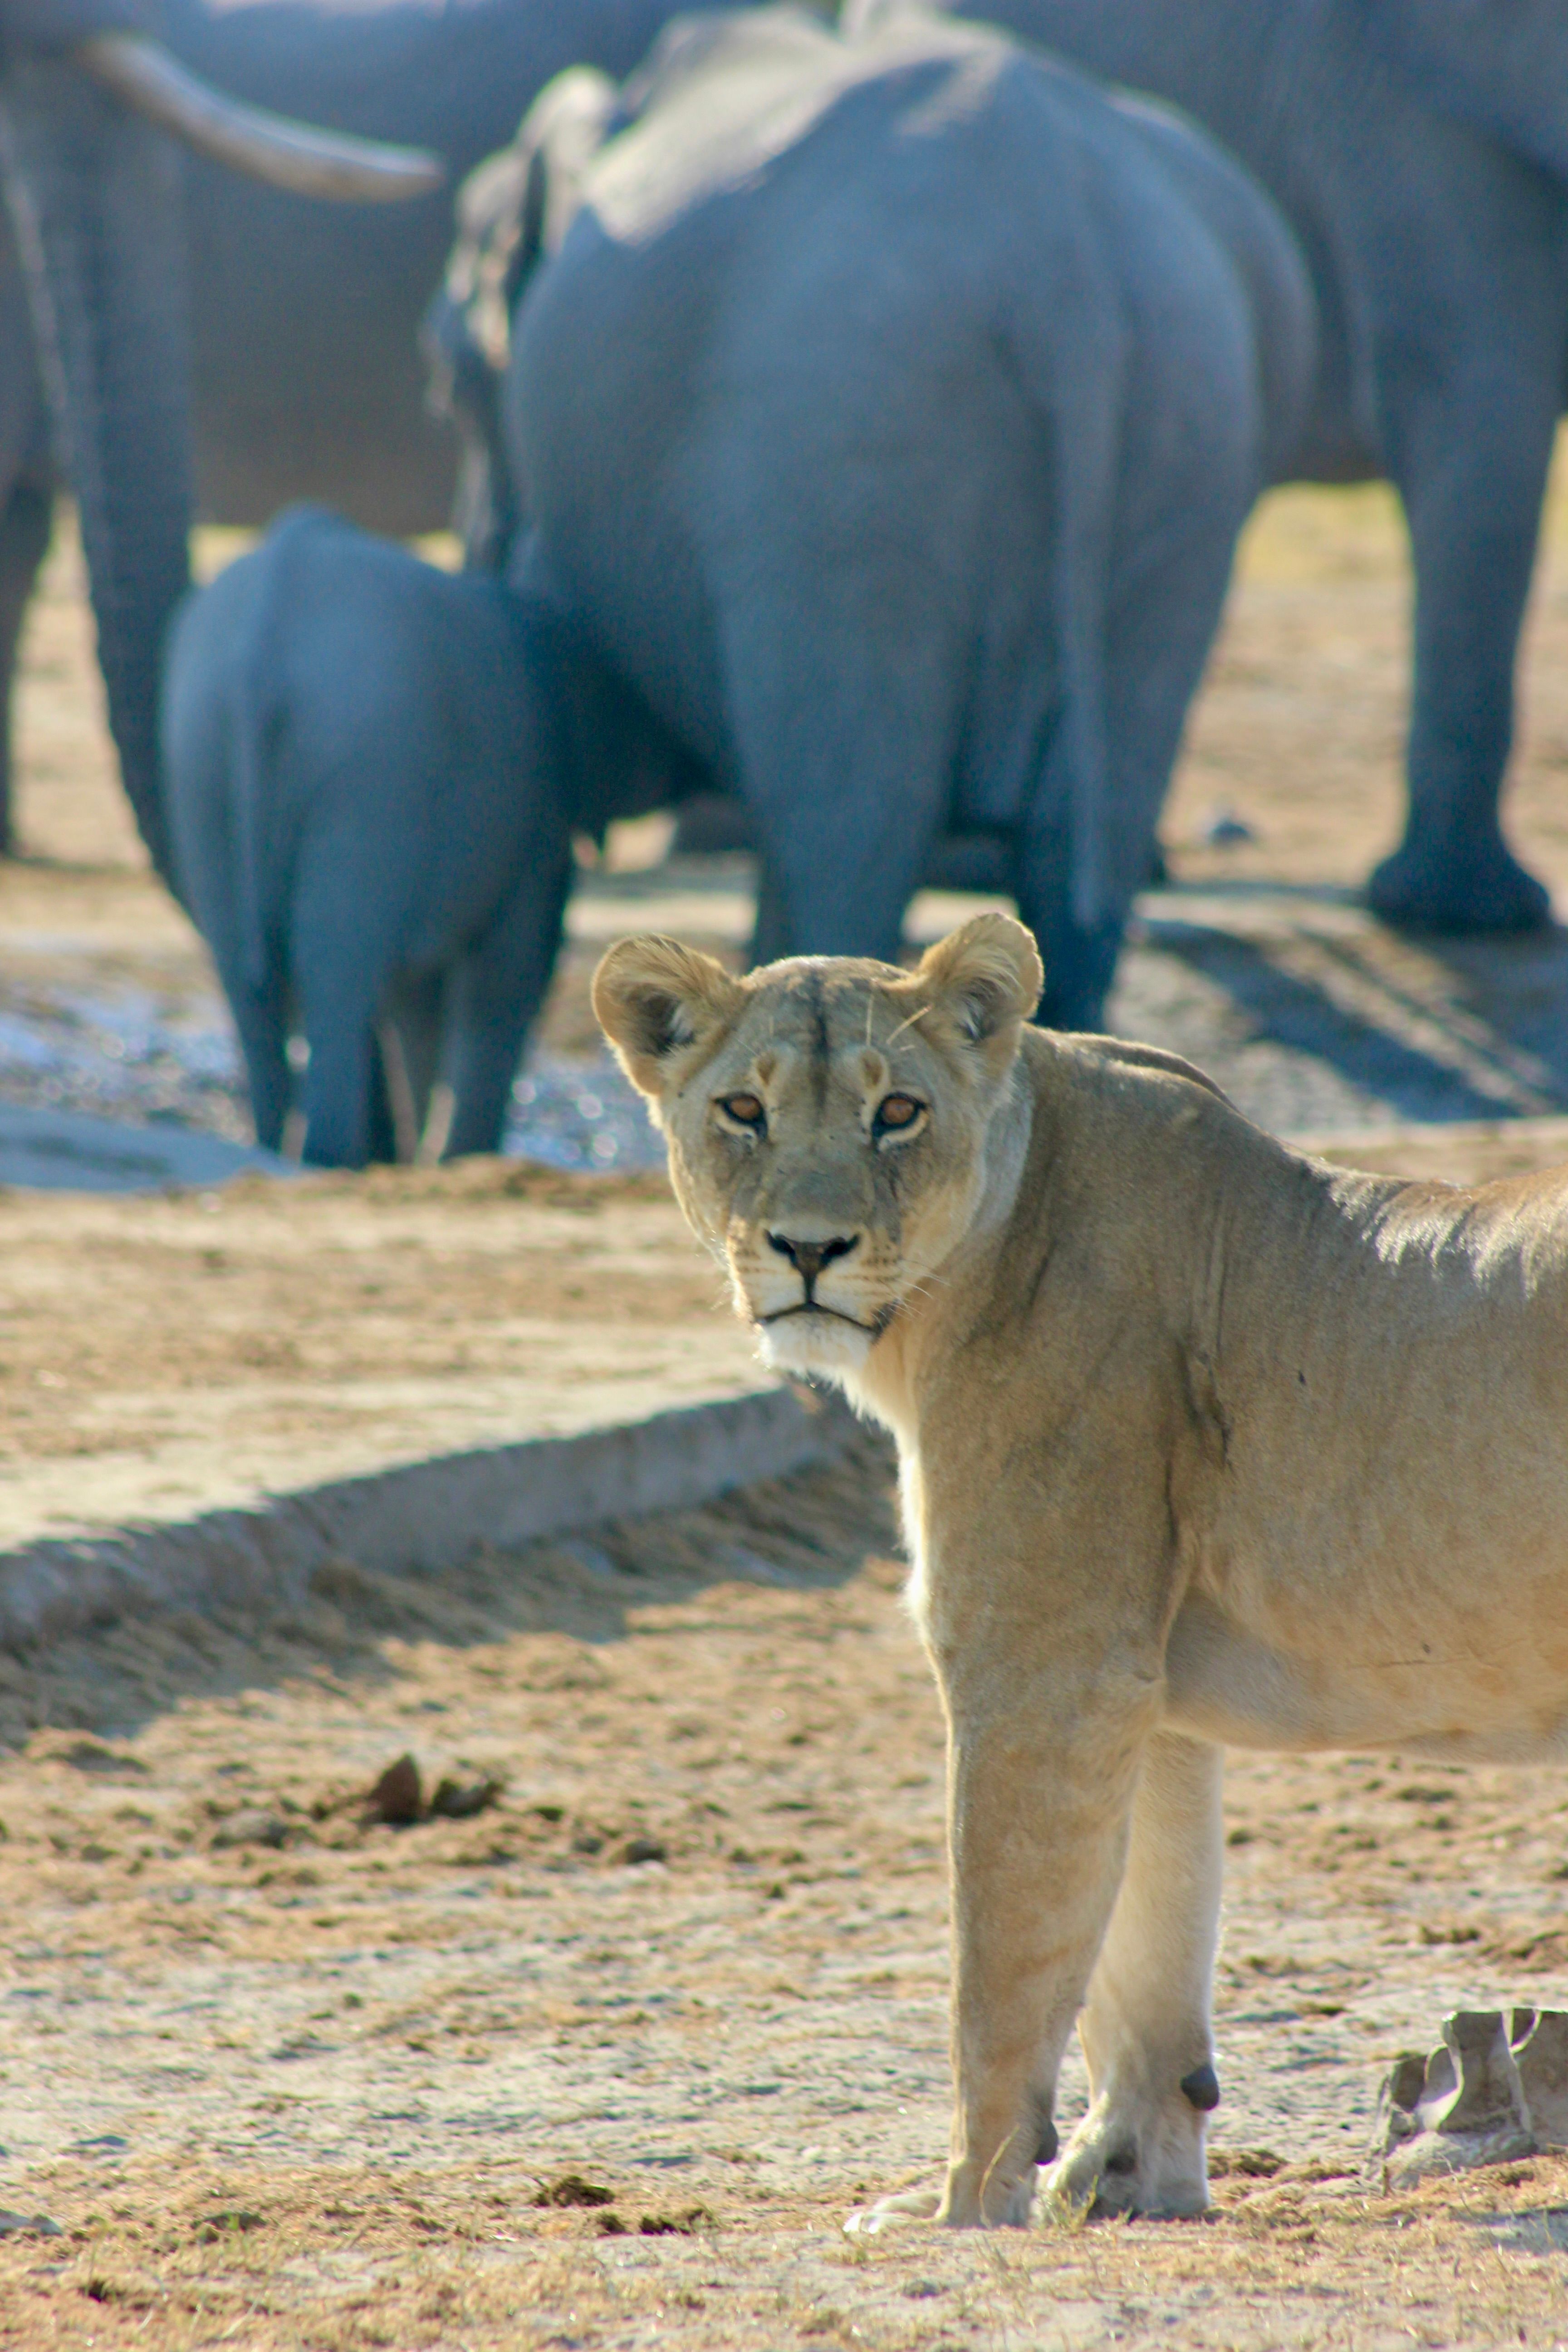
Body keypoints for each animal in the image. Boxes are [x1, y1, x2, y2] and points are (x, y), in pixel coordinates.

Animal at [593, 911, 1568, 2232]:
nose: (807, 1248)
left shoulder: (1047, 1673)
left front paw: (963, 2205)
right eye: (743, 1108)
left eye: (897, 1111)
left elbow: (1000, 1977)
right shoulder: (1144, 1695)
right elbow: (1144, 1967)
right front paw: (1121, 2180)